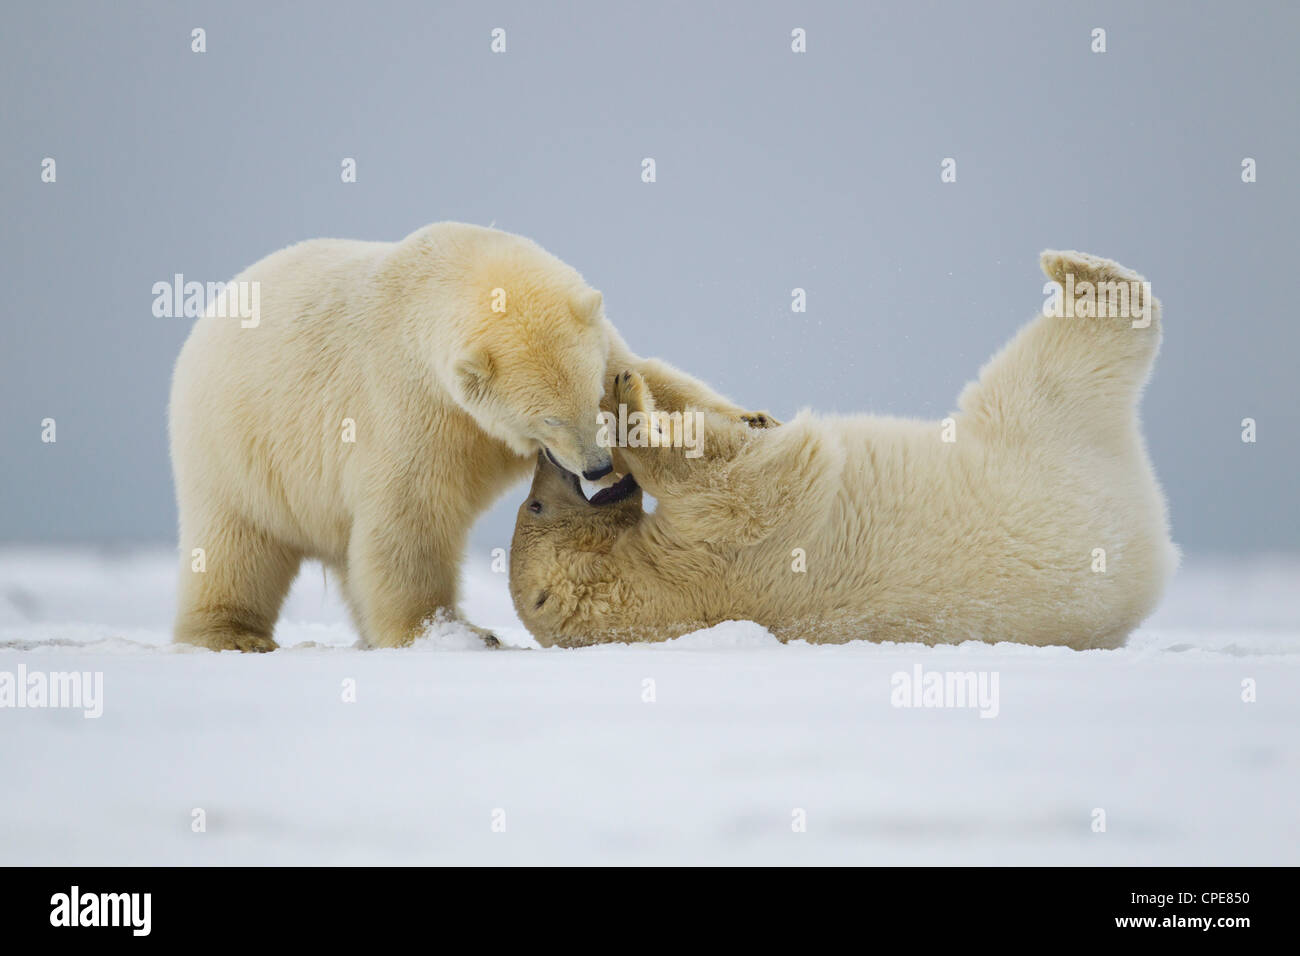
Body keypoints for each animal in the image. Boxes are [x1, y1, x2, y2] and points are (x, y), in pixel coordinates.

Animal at [169, 221, 772, 651]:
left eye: (589, 397)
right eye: (548, 420)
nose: (598, 467)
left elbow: (652, 376)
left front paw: (753, 420)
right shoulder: (412, 400)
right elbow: (408, 512)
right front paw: (449, 634)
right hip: (233, 447)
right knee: (235, 545)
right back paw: (233, 635)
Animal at [509, 250, 1178, 650]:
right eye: (535, 508)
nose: (547, 464)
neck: (639, 597)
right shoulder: (713, 561)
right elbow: (737, 485)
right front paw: (631, 405)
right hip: (1041, 440)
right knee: (1069, 361)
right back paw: (1084, 275)